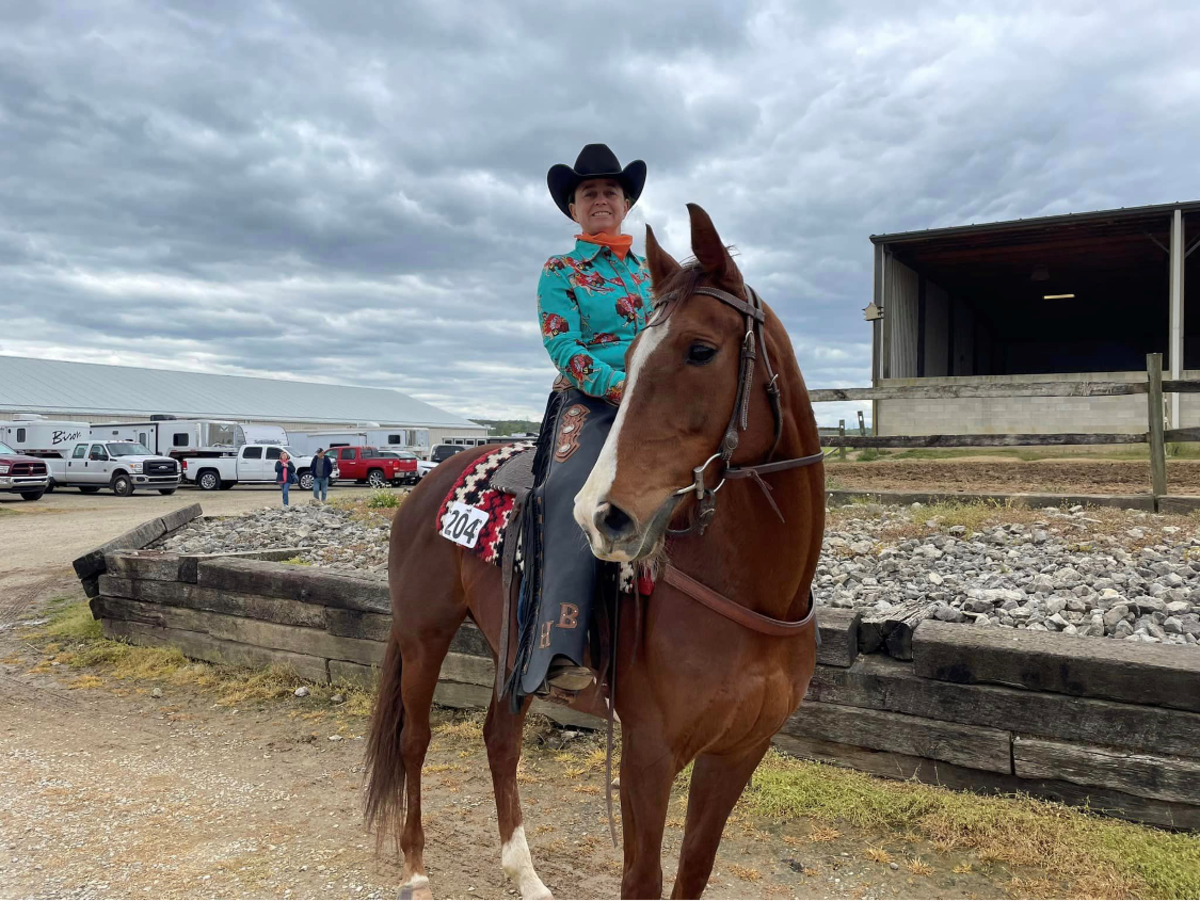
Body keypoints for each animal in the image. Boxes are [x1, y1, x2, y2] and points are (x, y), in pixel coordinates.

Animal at [366, 203, 825, 900]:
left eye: (700, 350)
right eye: (630, 357)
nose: (601, 516)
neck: (752, 593)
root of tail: (427, 482)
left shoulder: (739, 753)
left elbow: (694, 869)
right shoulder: (649, 752)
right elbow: (643, 877)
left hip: (515, 652)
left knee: (499, 738)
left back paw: (526, 876)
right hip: (425, 633)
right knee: (414, 738)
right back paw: (415, 867)